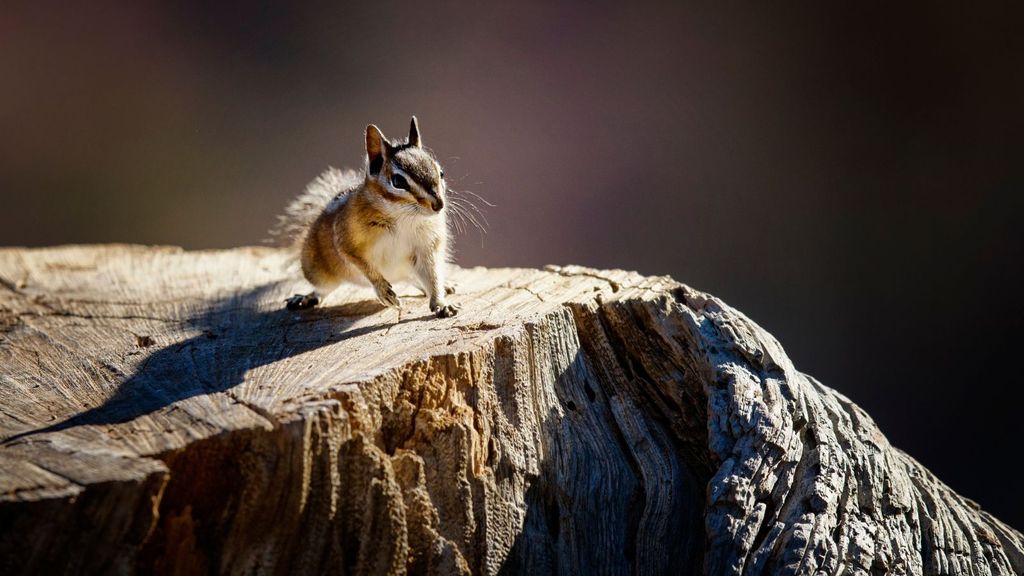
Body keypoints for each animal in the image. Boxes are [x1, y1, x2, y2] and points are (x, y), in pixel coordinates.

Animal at [276, 116, 459, 317]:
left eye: (441, 173)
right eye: (398, 181)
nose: (439, 205)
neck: (403, 217)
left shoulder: (427, 247)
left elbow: (432, 276)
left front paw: (441, 303)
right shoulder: (346, 241)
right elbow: (361, 263)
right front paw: (383, 290)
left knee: (418, 279)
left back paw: (444, 285)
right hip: (317, 271)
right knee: (322, 289)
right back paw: (306, 298)